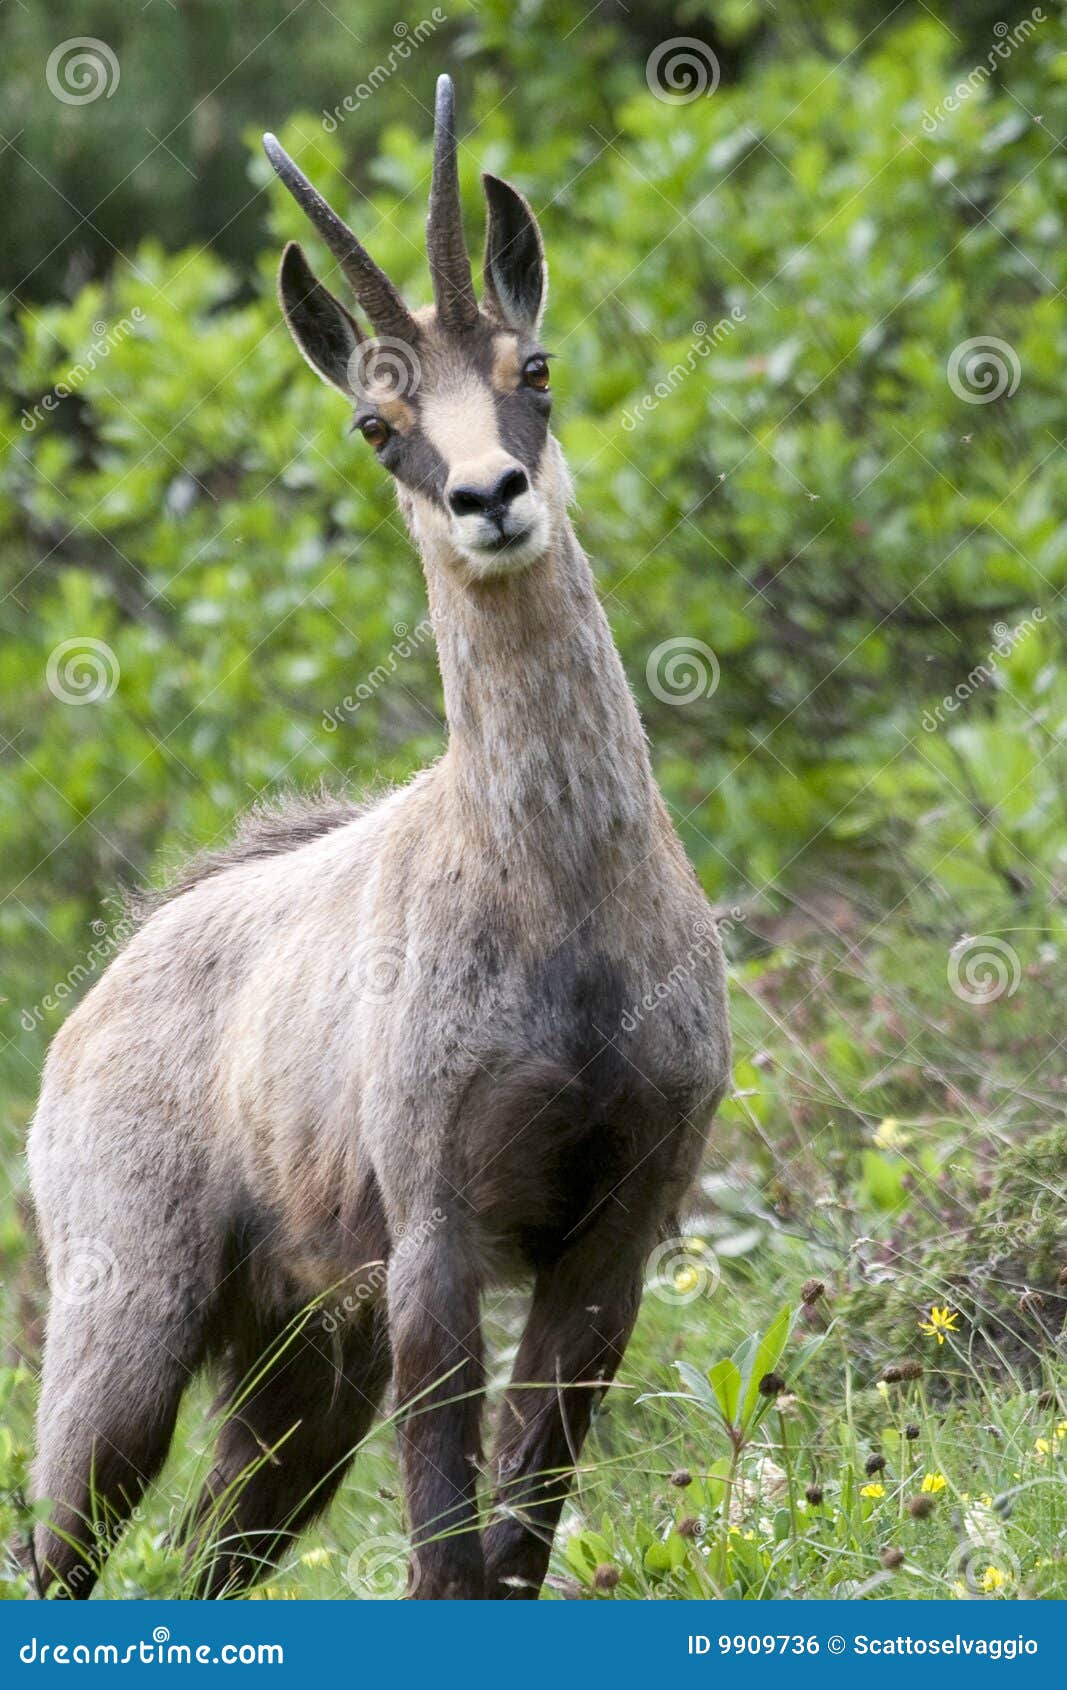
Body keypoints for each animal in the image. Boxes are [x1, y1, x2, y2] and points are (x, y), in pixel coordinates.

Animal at [24, 75, 731, 1600]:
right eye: (375, 420)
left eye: (533, 365)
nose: (487, 499)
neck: (559, 896)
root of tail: (95, 995)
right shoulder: (436, 1227)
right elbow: (445, 1551)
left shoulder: (612, 1235)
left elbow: (517, 1536)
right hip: (129, 1324)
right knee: (56, 1548)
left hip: (300, 1366)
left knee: (210, 1558)